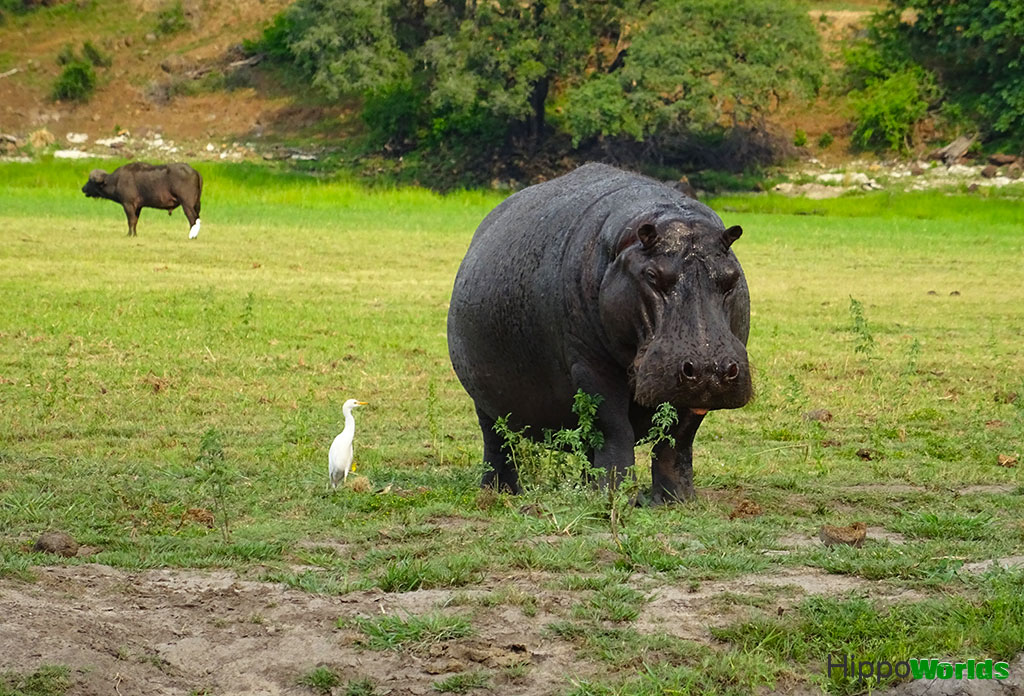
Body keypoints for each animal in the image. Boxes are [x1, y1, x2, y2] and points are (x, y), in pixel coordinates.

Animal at [447, 163, 752, 503]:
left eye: (732, 276)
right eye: (651, 275)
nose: (708, 368)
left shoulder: (695, 394)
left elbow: (678, 440)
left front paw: (677, 500)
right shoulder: (590, 365)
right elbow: (614, 427)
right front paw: (614, 495)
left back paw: (585, 487)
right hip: (485, 399)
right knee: (497, 443)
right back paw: (500, 493)